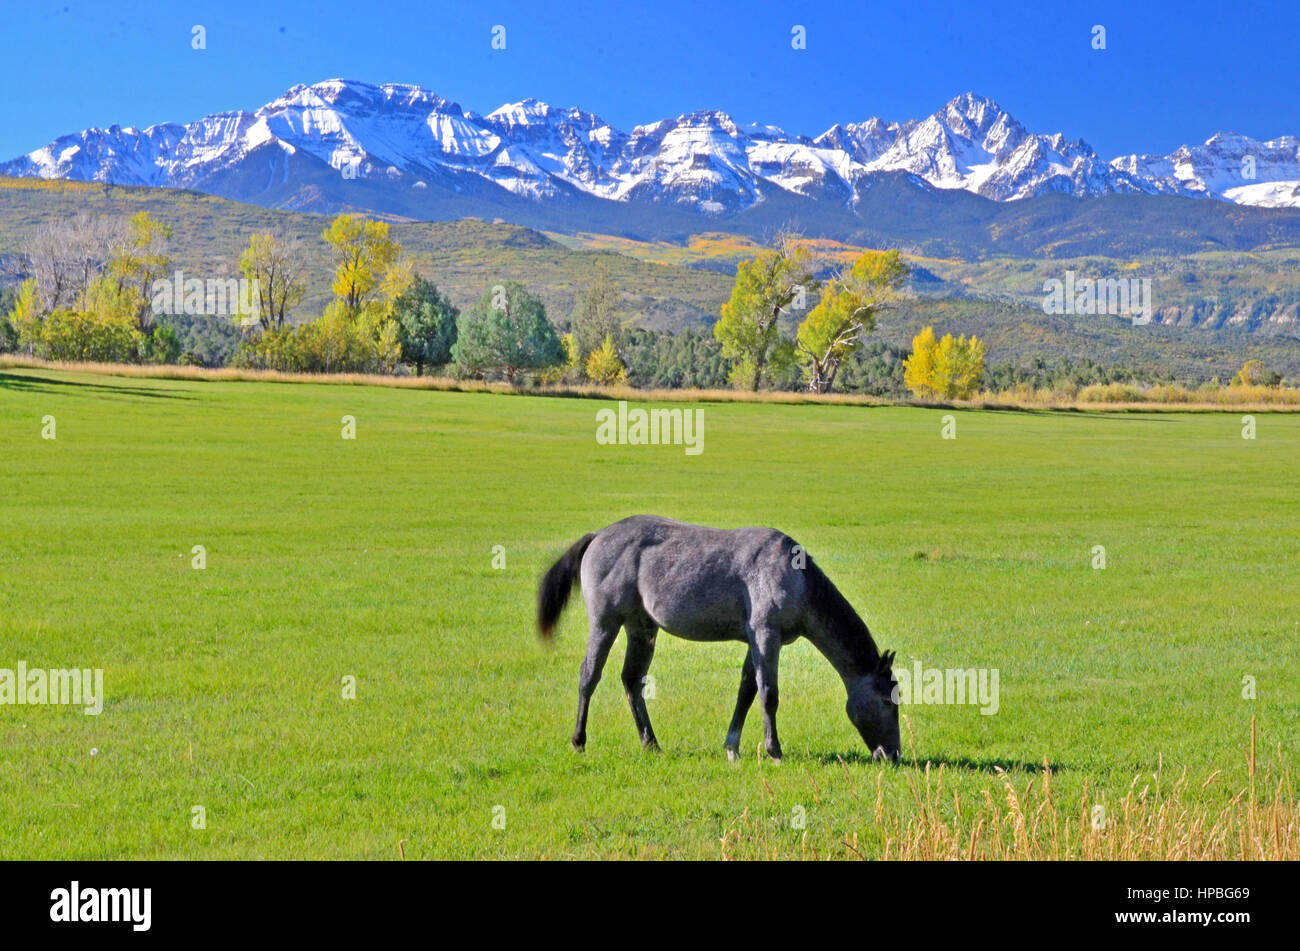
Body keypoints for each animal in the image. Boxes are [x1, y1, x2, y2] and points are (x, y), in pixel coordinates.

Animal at [536, 515, 900, 762]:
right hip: (605, 623)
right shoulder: (766, 636)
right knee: (589, 676)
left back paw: (651, 743)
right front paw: (774, 750)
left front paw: (732, 747)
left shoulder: (756, 642)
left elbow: (746, 691)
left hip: (642, 628)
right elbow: (769, 694)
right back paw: (579, 740)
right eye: (886, 702)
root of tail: (598, 535)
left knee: (632, 680)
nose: (892, 756)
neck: (794, 575)